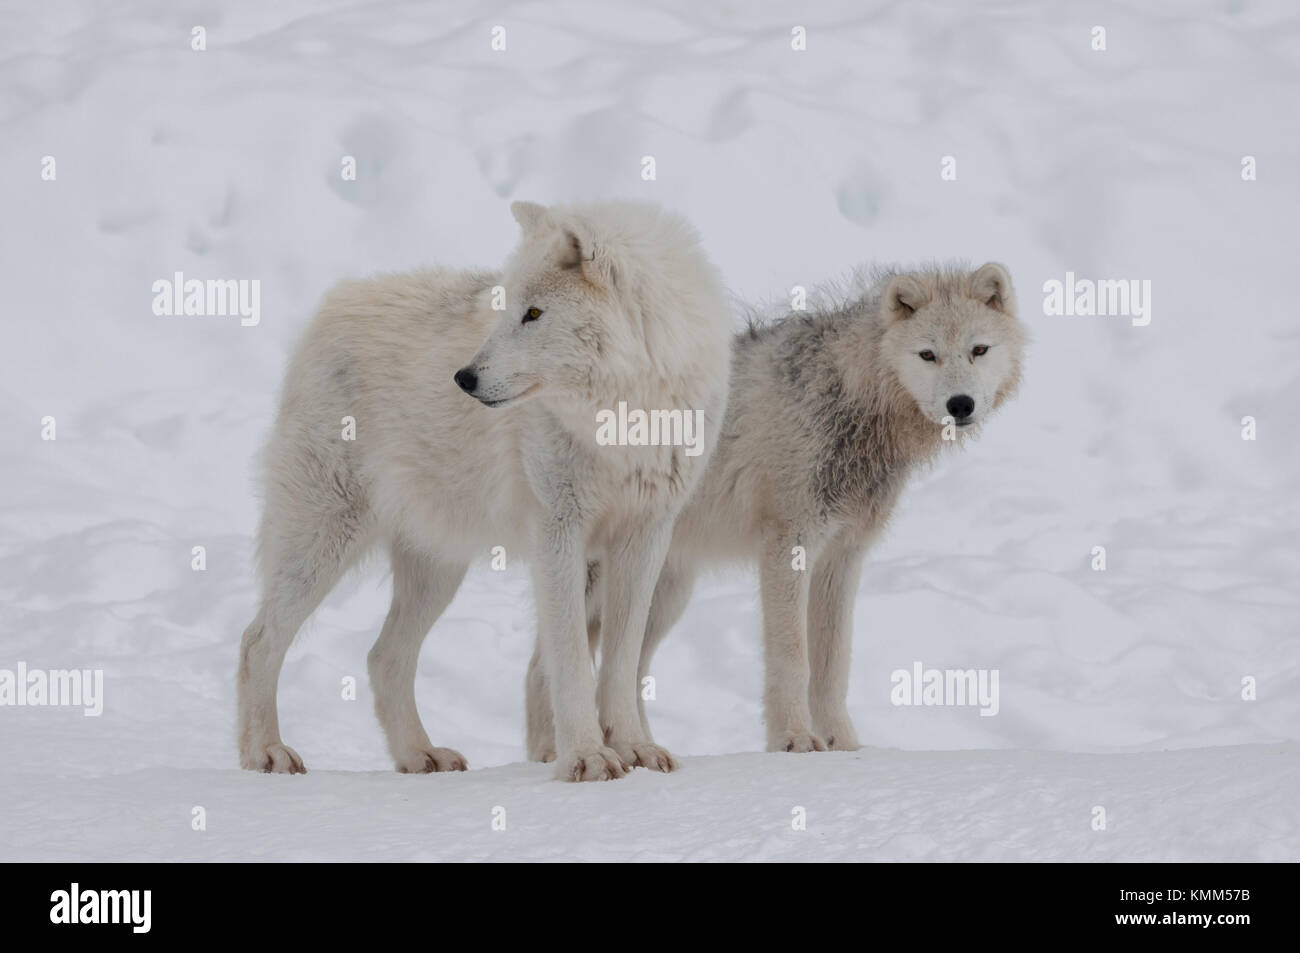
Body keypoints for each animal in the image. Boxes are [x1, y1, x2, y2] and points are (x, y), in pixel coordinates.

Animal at [237, 200, 732, 781]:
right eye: (504, 308)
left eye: (533, 314)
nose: (464, 379)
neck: (622, 419)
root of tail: (335, 301)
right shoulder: (558, 532)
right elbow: (569, 662)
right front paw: (587, 757)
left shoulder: (647, 535)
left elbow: (621, 662)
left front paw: (635, 749)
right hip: (322, 540)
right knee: (257, 640)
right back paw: (265, 753)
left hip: (437, 566)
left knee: (384, 657)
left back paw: (419, 755)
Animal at [527, 263, 1025, 759]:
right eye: (927, 355)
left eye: (979, 350)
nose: (960, 405)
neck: (850, 396)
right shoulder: (789, 545)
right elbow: (792, 659)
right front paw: (795, 741)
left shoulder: (843, 557)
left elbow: (833, 665)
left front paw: (845, 748)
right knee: (543, 666)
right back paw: (561, 756)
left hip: (662, 594)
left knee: (624, 672)